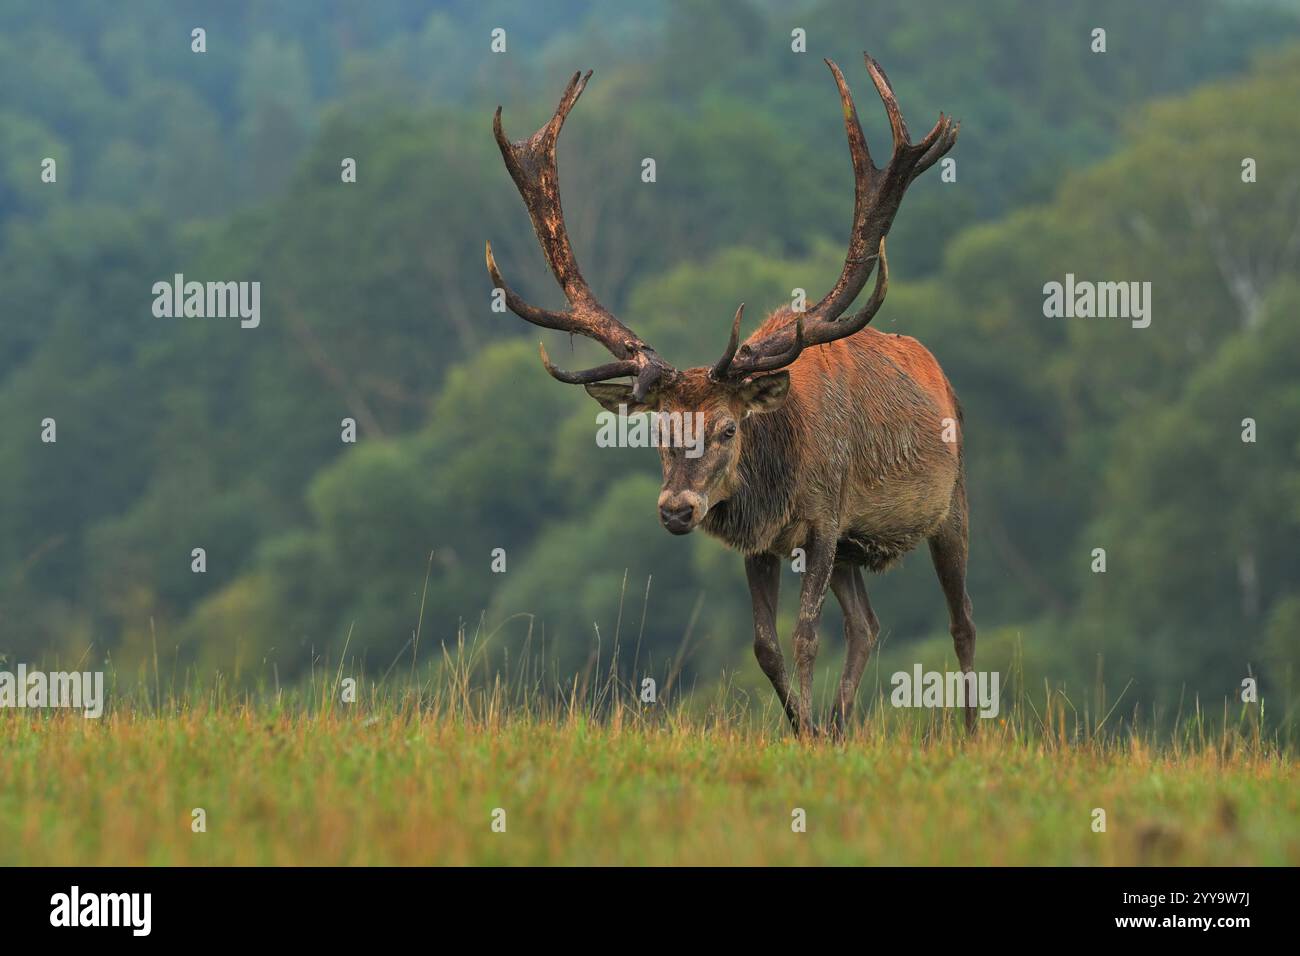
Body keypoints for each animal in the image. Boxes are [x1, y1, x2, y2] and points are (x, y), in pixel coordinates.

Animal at [485, 53, 973, 737]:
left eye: (728, 428)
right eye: (658, 430)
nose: (676, 509)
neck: (783, 471)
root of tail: (939, 373)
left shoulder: (825, 520)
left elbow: (804, 637)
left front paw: (811, 733)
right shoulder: (765, 542)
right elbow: (765, 646)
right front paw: (806, 729)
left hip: (952, 506)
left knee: (962, 622)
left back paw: (972, 730)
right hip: (859, 550)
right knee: (868, 625)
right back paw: (842, 724)